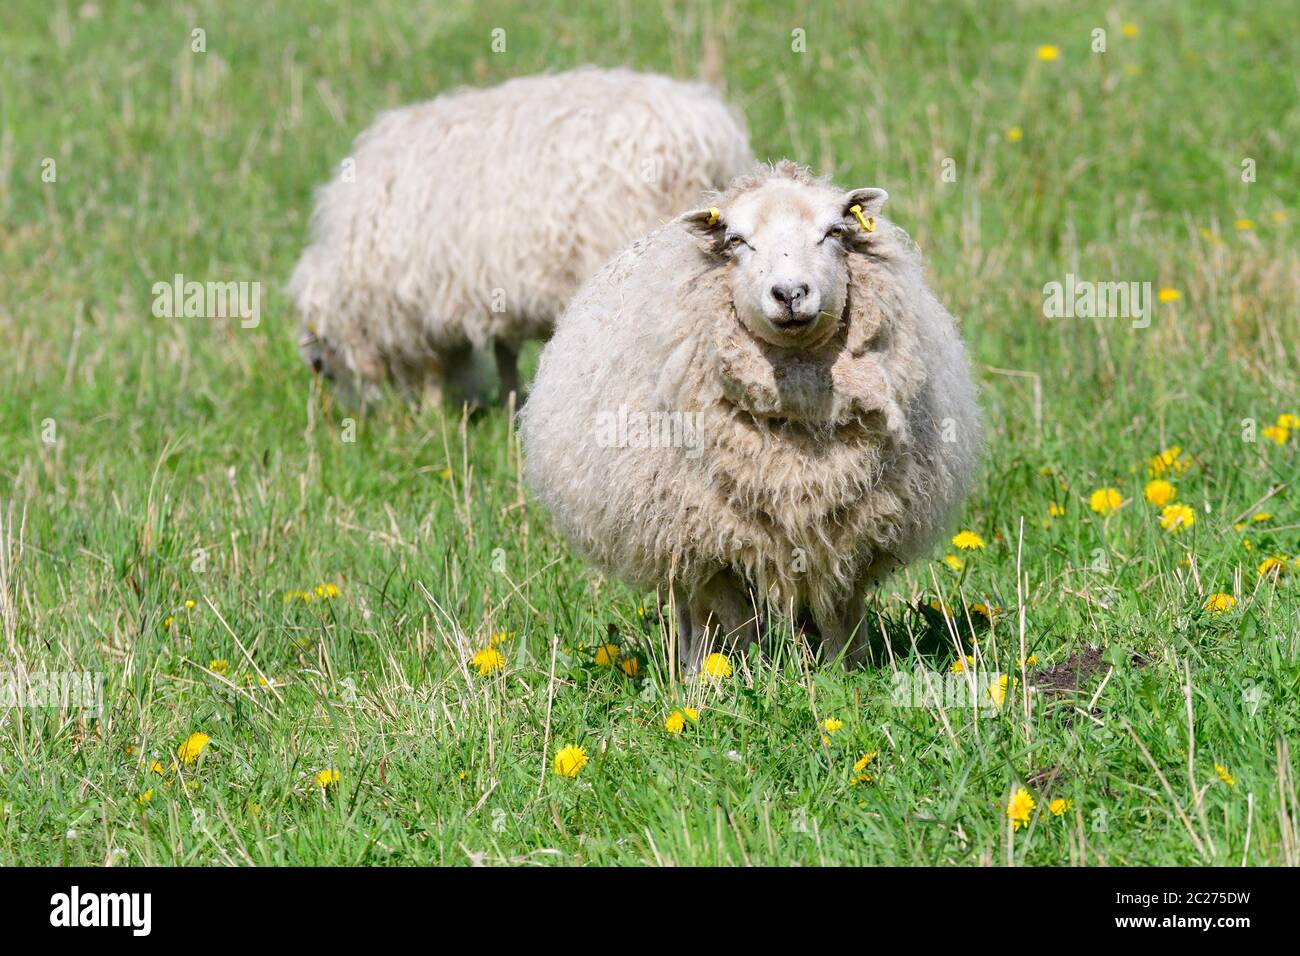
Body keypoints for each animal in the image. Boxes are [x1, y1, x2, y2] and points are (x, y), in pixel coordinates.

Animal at [289, 67, 753, 406]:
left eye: (320, 348)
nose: (316, 368)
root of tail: (708, 134)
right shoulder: (491, 294)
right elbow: (503, 355)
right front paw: (512, 404)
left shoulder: (418, 301)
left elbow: (437, 370)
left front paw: (432, 418)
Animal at [520, 161, 981, 670]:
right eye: (738, 240)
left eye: (833, 232)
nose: (790, 292)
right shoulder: (705, 538)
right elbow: (731, 618)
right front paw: (740, 676)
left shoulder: (850, 534)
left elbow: (840, 611)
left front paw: (846, 671)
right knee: (695, 610)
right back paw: (694, 669)